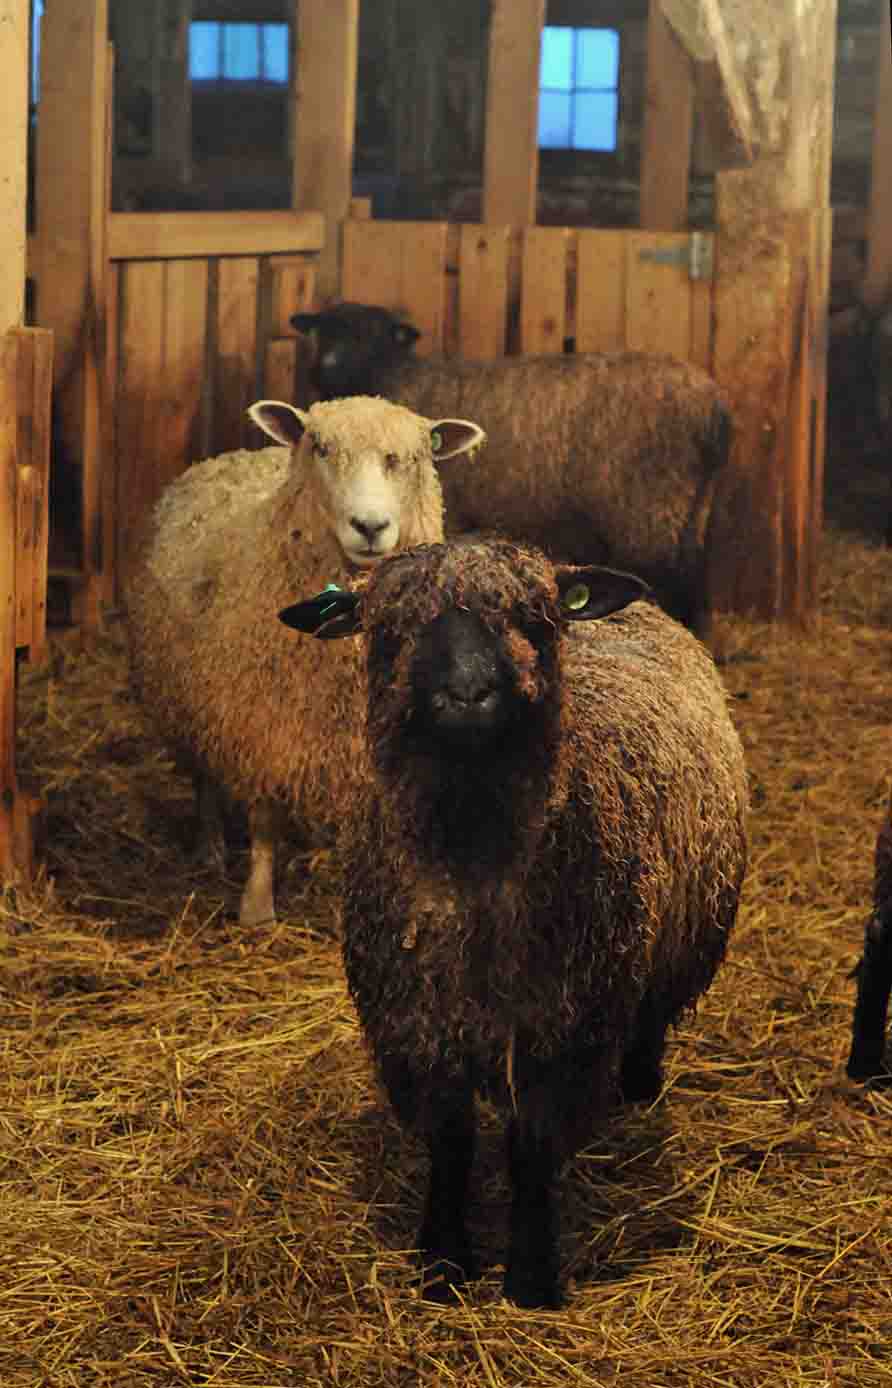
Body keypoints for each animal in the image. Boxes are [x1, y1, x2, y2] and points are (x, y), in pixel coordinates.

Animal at [125, 395, 485, 926]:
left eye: (412, 457)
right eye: (321, 448)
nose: (370, 526)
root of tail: (232, 455)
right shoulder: (260, 724)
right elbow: (263, 819)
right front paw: (257, 907)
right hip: (190, 703)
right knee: (203, 779)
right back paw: (210, 847)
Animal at [280, 535, 749, 1308]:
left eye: (536, 620)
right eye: (388, 628)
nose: (470, 694)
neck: (473, 849)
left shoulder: (562, 1027)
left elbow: (532, 1150)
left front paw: (530, 1277)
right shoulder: (418, 1027)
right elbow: (451, 1144)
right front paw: (442, 1262)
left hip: (679, 941)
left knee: (651, 1017)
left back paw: (639, 1086)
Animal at [292, 302, 734, 642]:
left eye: (370, 335)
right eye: (323, 330)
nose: (327, 365)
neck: (394, 375)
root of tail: (715, 412)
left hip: (651, 515)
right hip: (692, 512)